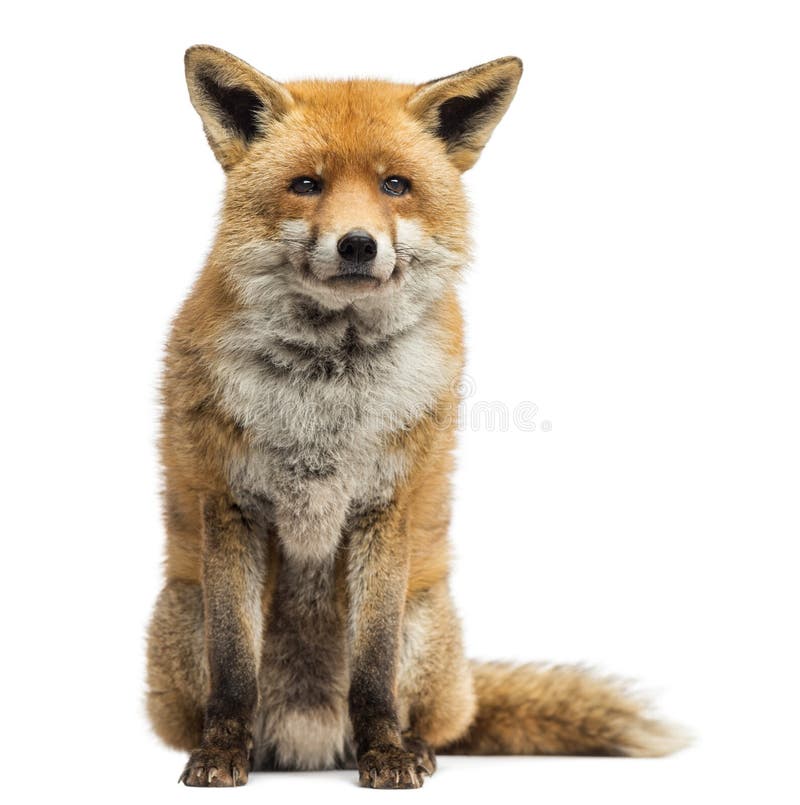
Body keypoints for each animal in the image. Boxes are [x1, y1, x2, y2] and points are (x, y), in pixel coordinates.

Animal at [146, 44, 688, 789]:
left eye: (395, 185)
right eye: (306, 184)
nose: (356, 244)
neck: (328, 387)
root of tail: (310, 744)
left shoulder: (385, 506)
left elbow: (372, 673)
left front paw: (387, 755)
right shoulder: (230, 504)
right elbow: (234, 673)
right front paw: (221, 754)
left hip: (427, 623)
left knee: (434, 717)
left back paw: (416, 746)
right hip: (183, 613)